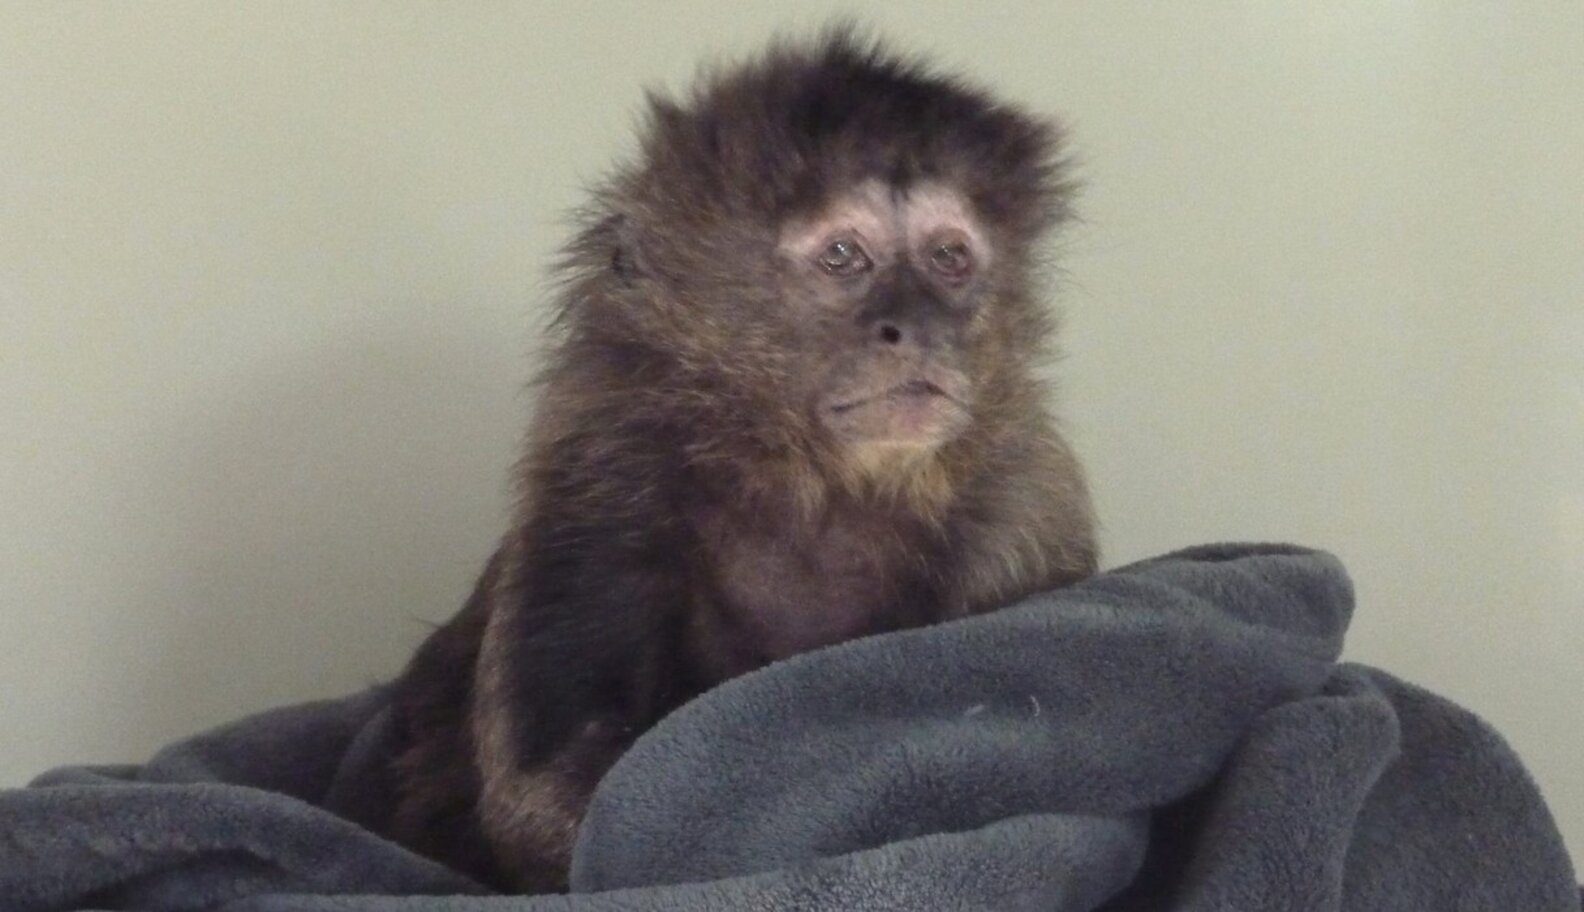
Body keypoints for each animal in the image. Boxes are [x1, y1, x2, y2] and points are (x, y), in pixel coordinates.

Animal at [380, 30, 1098, 894]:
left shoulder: (1026, 504)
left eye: (949, 258)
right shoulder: (599, 479)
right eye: (844, 255)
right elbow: (566, 810)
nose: (917, 326)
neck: (811, 484)